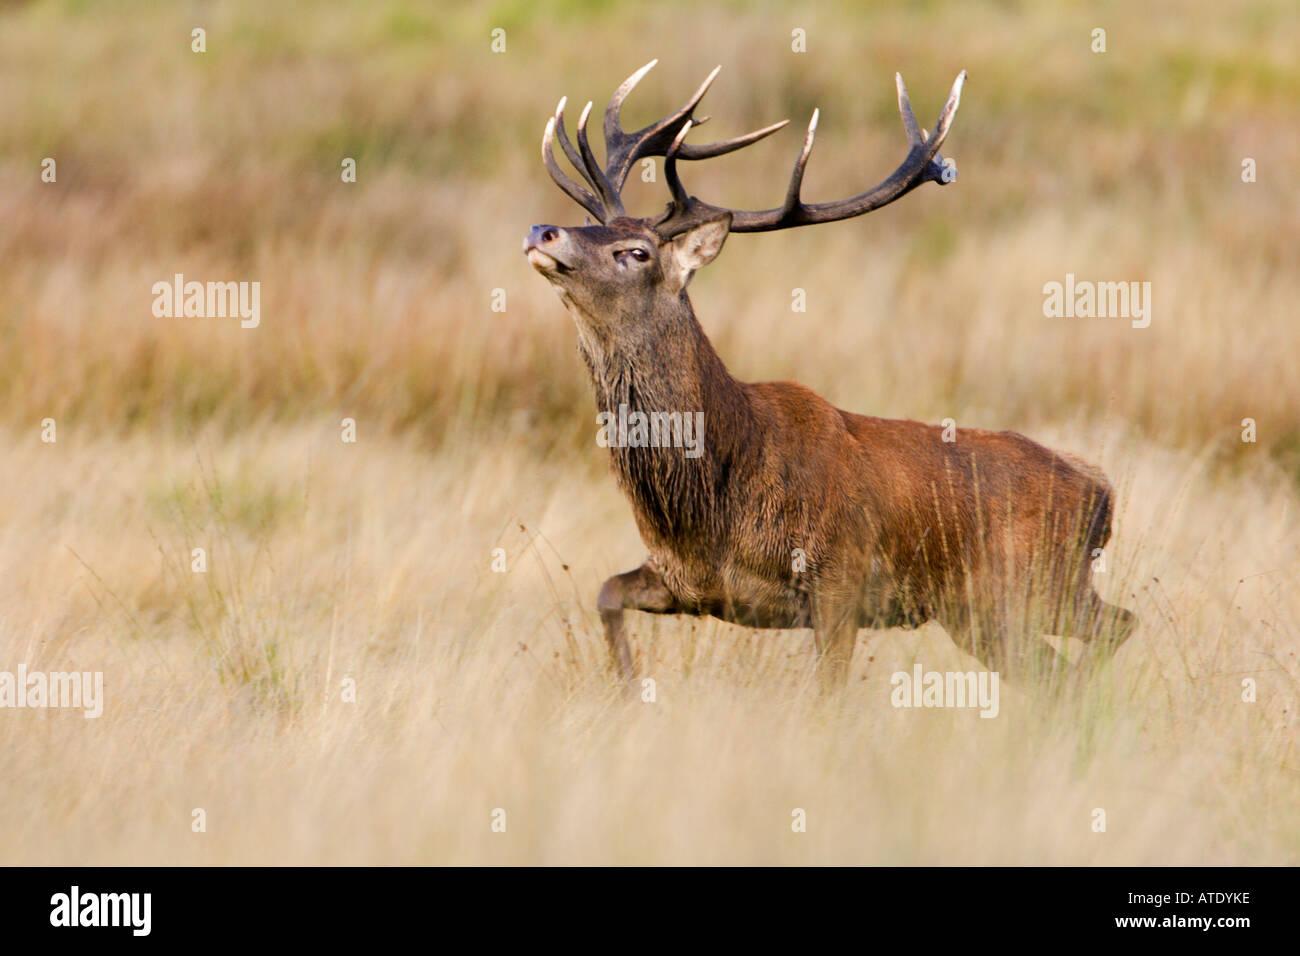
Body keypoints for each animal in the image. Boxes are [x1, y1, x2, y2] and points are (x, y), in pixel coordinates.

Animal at [523, 60, 1136, 689]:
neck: (711, 503)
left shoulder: (841, 579)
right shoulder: (683, 582)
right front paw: (625, 689)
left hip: (1033, 586)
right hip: (979, 613)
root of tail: (1102, 492)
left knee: (1117, 627)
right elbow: (605, 594)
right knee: (1061, 666)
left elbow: (829, 693)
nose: (543, 230)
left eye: (637, 252)